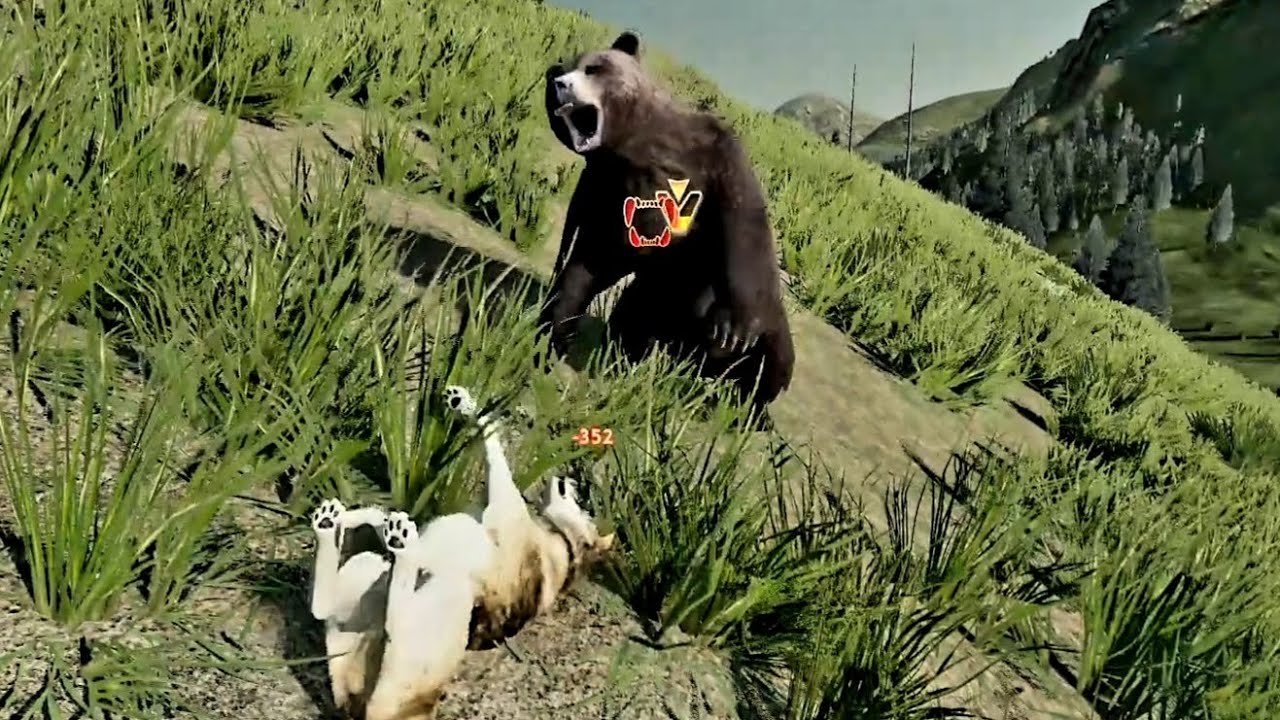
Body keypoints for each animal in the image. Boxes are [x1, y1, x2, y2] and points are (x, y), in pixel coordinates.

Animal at [538, 30, 795, 420]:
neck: (634, 141)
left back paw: (750, 406)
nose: (559, 82)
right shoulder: (609, 192)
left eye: (593, 67)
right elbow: (584, 264)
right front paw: (552, 330)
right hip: (660, 299)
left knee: (774, 359)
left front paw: (731, 330)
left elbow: (743, 227)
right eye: (563, 66)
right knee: (632, 320)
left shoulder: (713, 158)